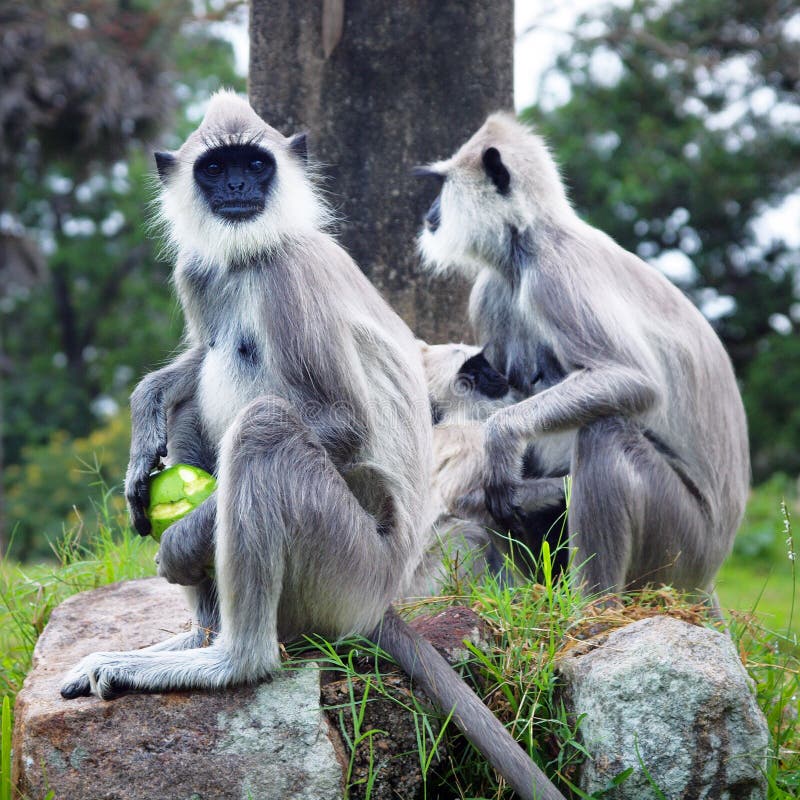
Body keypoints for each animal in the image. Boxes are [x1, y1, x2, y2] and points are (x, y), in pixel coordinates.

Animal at [59, 93, 566, 800]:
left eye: (253, 164)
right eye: (215, 169)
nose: (237, 189)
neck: (249, 257)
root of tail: (383, 600)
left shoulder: (290, 273)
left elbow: (341, 423)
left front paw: (181, 539)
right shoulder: (199, 272)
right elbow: (192, 365)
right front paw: (147, 409)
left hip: (346, 566)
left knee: (265, 429)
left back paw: (230, 660)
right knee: (206, 403)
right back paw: (195, 638)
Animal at [415, 113, 750, 602]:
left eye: (441, 186)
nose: (430, 216)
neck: (529, 239)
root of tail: (707, 574)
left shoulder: (554, 270)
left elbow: (632, 380)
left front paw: (501, 436)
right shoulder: (492, 289)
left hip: (682, 545)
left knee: (604, 430)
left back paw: (591, 607)